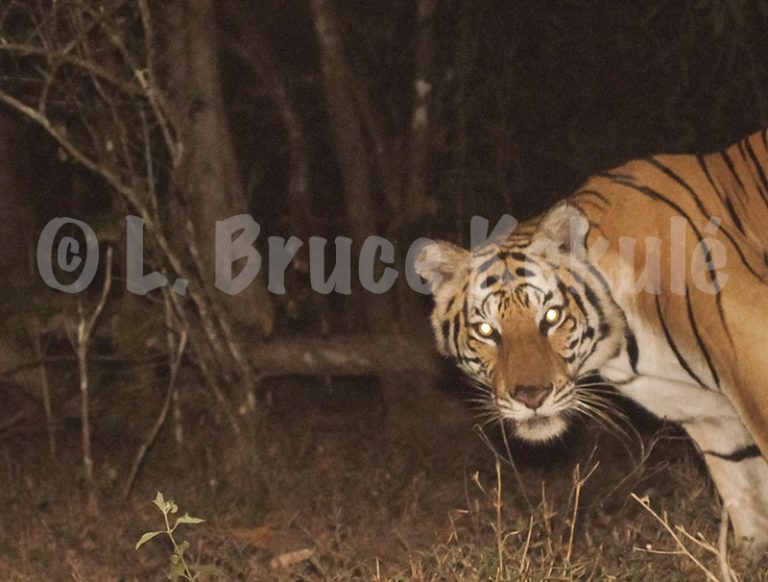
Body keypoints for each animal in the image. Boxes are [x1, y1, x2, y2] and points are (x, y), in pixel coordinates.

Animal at [415, 129, 768, 557]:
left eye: (551, 318)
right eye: (486, 331)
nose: (531, 397)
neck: (624, 350)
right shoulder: (712, 420)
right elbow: (749, 507)